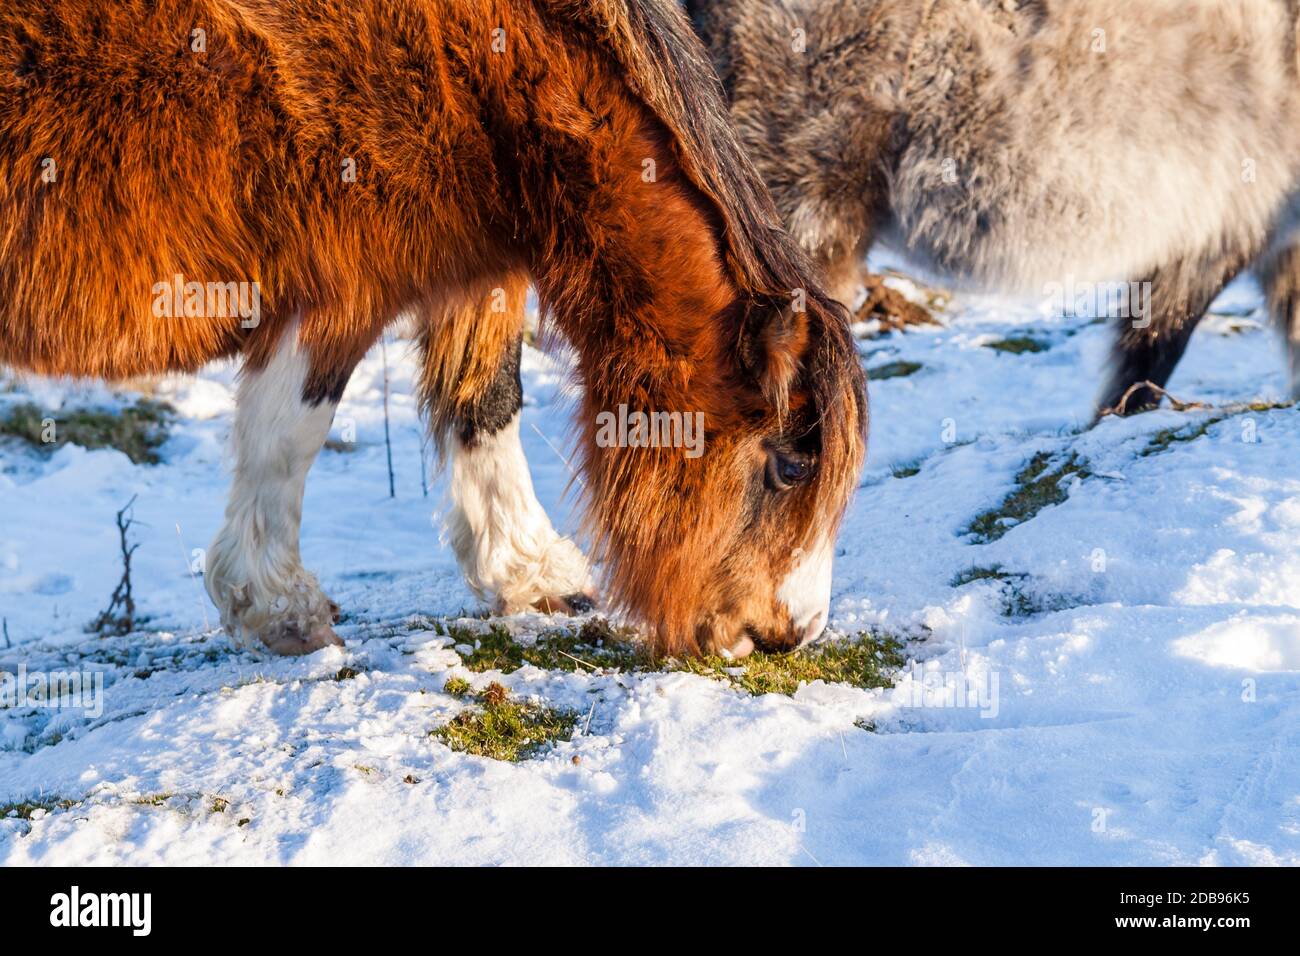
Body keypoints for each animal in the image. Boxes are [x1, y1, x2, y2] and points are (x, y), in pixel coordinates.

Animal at [0, 0, 867, 658]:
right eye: (789, 466)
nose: (790, 633)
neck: (480, 70)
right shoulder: (338, 291)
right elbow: (288, 436)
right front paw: (275, 605)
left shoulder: (472, 267)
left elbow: (486, 403)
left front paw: (527, 573)